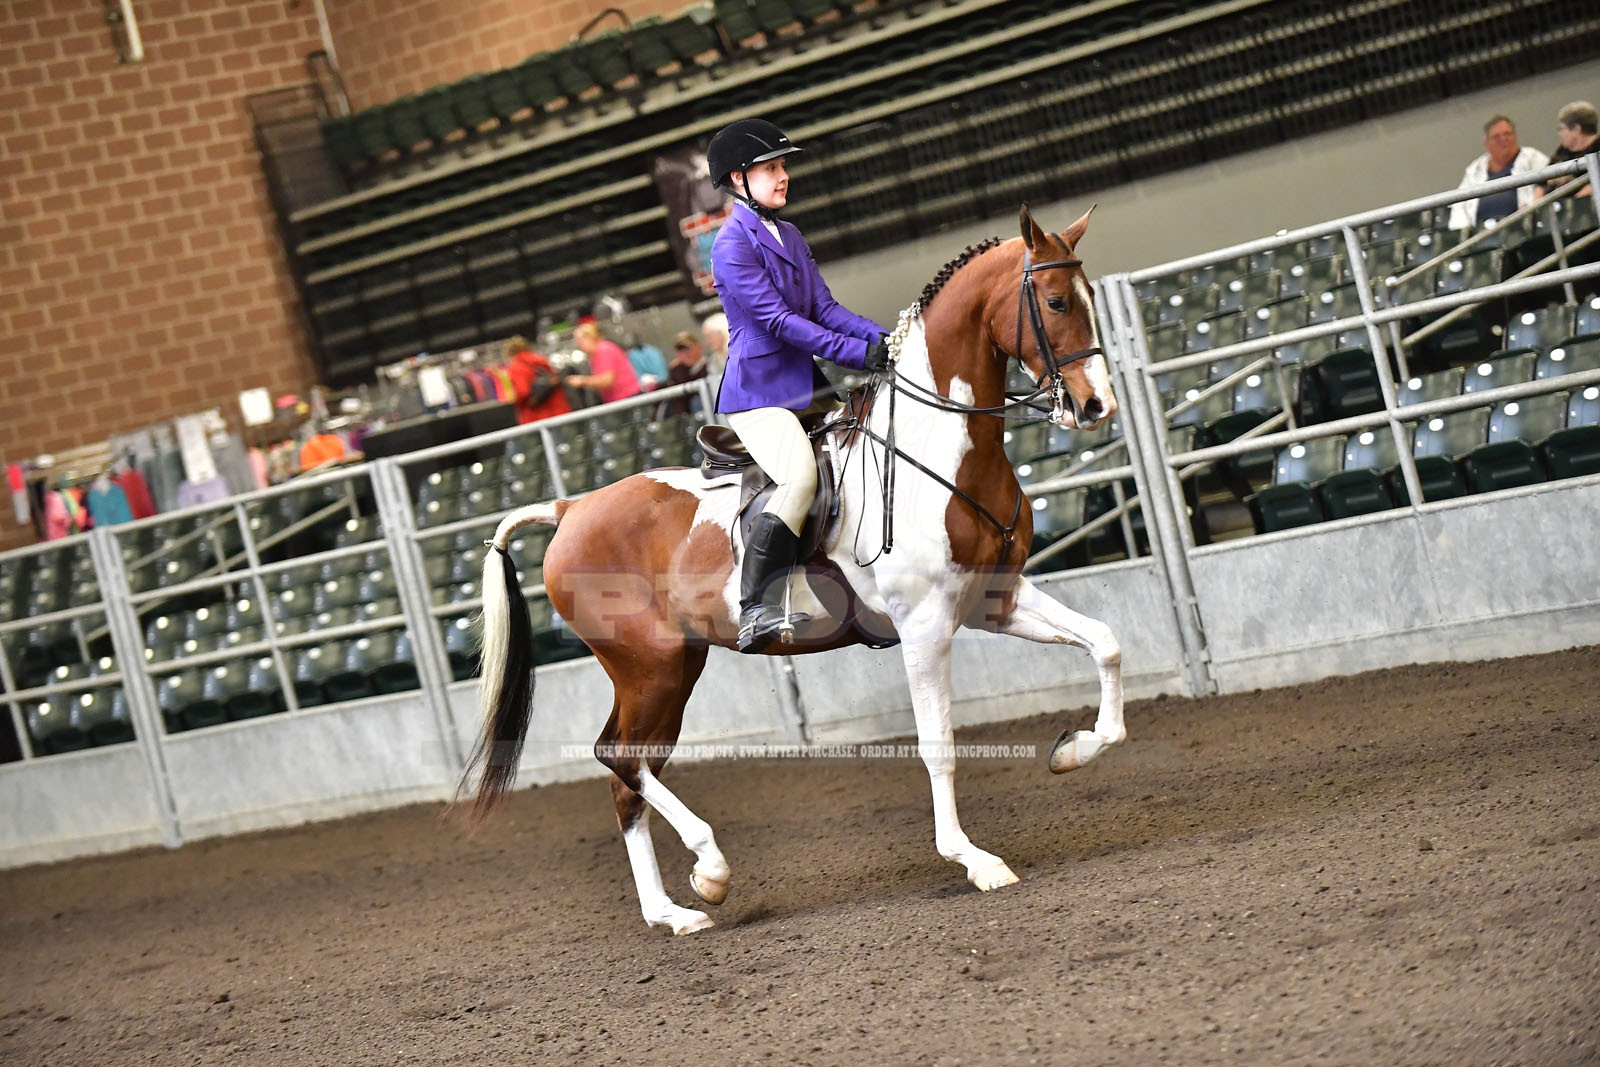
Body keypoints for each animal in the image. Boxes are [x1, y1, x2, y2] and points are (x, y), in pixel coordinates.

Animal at [460, 205, 1127, 935]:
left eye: (1088, 297)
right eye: (1057, 302)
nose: (1096, 407)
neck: (941, 453)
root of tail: (571, 506)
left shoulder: (995, 600)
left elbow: (1106, 643)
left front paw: (1074, 749)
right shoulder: (924, 626)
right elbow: (938, 743)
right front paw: (974, 859)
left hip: (671, 670)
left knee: (626, 774)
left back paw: (674, 911)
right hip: (649, 668)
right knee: (619, 758)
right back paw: (709, 866)